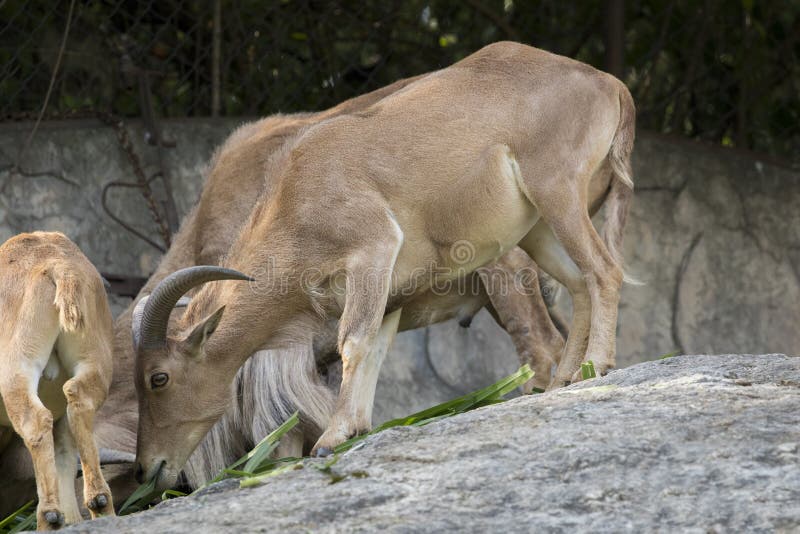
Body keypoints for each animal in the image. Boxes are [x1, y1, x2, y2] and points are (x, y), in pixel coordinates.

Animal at [0, 232, 114, 530]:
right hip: (93, 359)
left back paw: (50, 517)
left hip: (17, 370)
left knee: (35, 421)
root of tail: (57, 268)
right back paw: (97, 505)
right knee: (77, 407)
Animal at [131, 41, 634, 488]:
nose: (146, 470)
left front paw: (330, 439)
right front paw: (356, 429)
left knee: (603, 271)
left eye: (159, 378)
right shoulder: (393, 291)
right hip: (537, 229)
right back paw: (565, 379)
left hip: (556, 192)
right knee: (579, 284)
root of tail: (608, 83)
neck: (292, 196)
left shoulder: (373, 251)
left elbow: (353, 342)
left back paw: (596, 367)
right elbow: (374, 349)